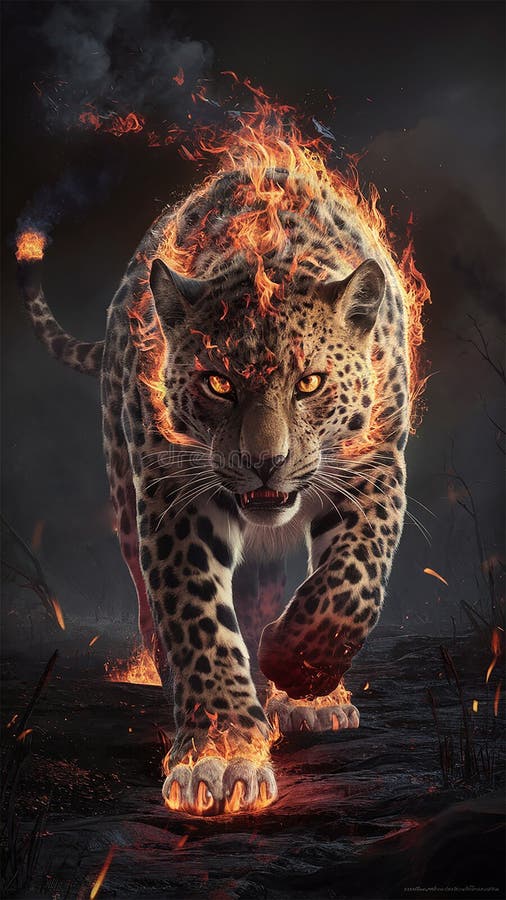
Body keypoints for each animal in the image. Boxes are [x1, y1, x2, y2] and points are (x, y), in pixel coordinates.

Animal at [18, 135, 413, 816]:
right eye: (218, 384)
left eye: (310, 383)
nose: (264, 461)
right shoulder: (175, 492)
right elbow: (197, 618)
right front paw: (222, 755)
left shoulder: (373, 468)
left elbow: (350, 586)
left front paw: (296, 669)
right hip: (126, 491)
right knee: (151, 601)